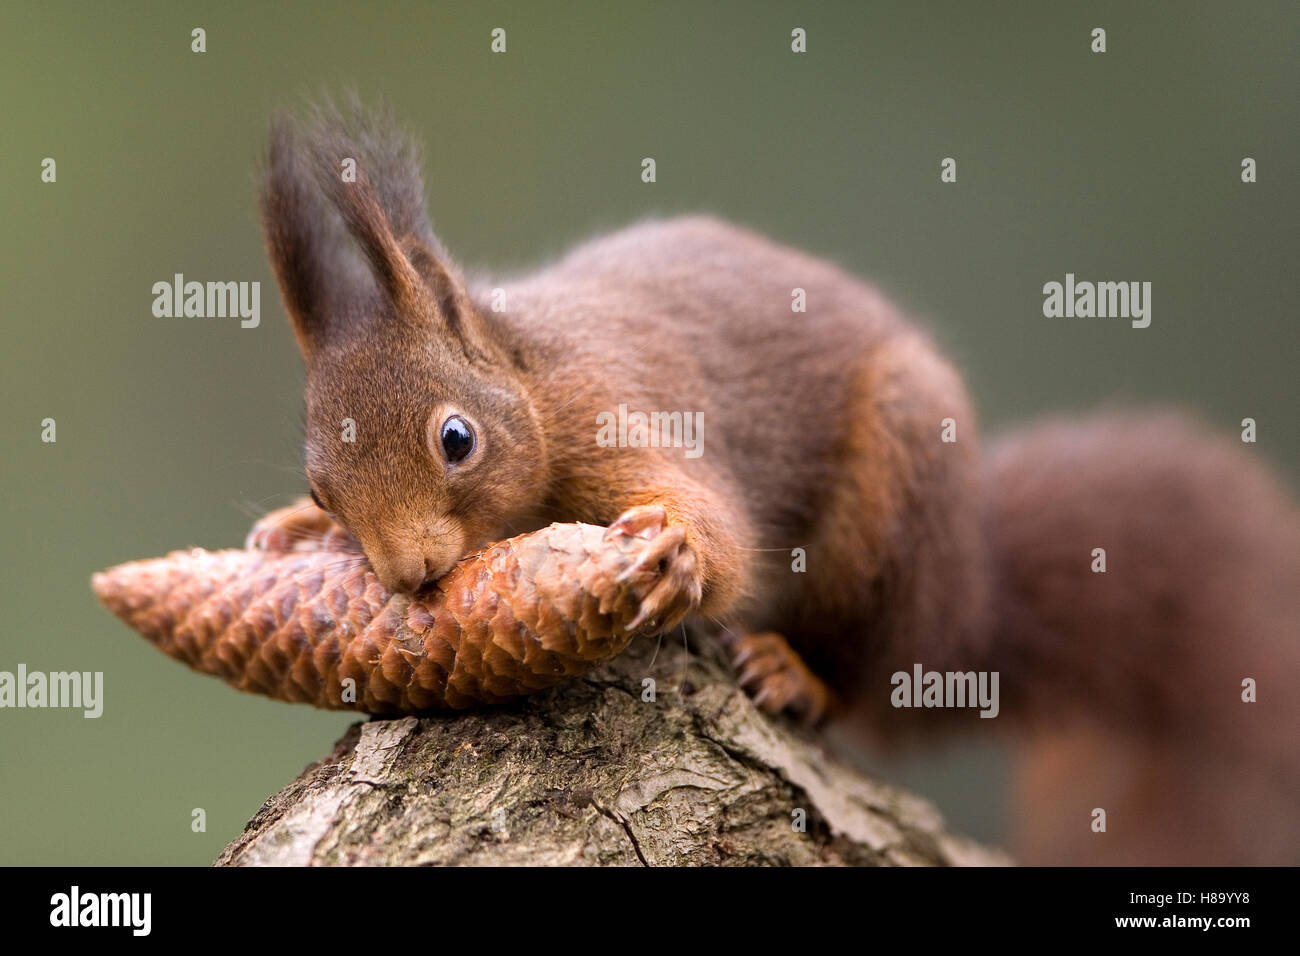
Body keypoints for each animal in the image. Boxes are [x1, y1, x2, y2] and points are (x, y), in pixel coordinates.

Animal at [251, 100, 1300, 866]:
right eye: (327, 487)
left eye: (456, 439)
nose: (407, 577)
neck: (530, 376)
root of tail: (968, 604)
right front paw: (289, 531)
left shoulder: (609, 414)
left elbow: (720, 529)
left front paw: (677, 552)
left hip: (894, 506)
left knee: (868, 675)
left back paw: (801, 672)